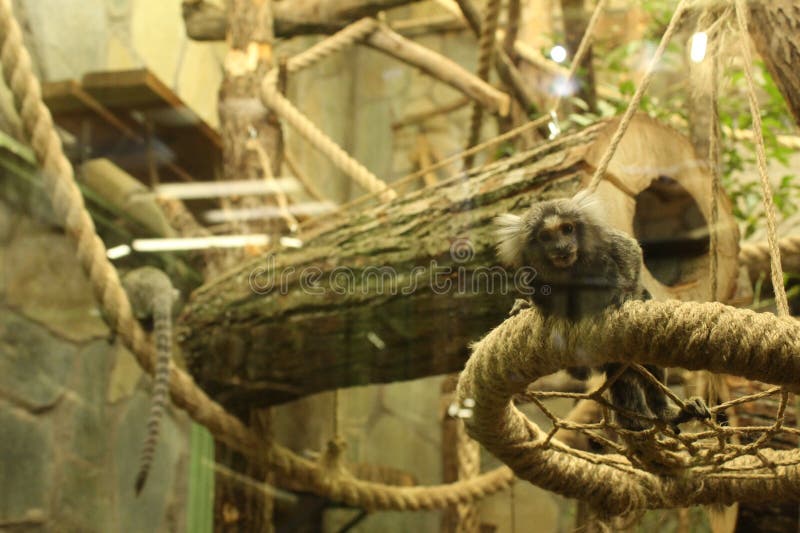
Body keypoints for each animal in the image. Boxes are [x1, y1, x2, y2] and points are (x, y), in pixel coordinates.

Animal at [495, 191, 710, 432]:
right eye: (545, 236)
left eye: (567, 229)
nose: (561, 247)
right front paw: (525, 305)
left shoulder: (610, 245)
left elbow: (632, 253)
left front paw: (625, 293)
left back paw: (665, 410)